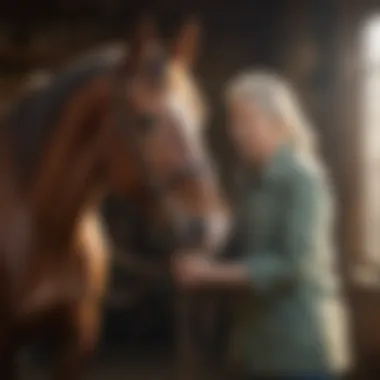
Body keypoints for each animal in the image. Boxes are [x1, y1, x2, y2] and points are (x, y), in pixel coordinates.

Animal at [0, 18, 229, 380]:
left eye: (201, 113)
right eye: (145, 120)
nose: (211, 226)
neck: (43, 226)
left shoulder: (77, 340)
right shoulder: (7, 344)